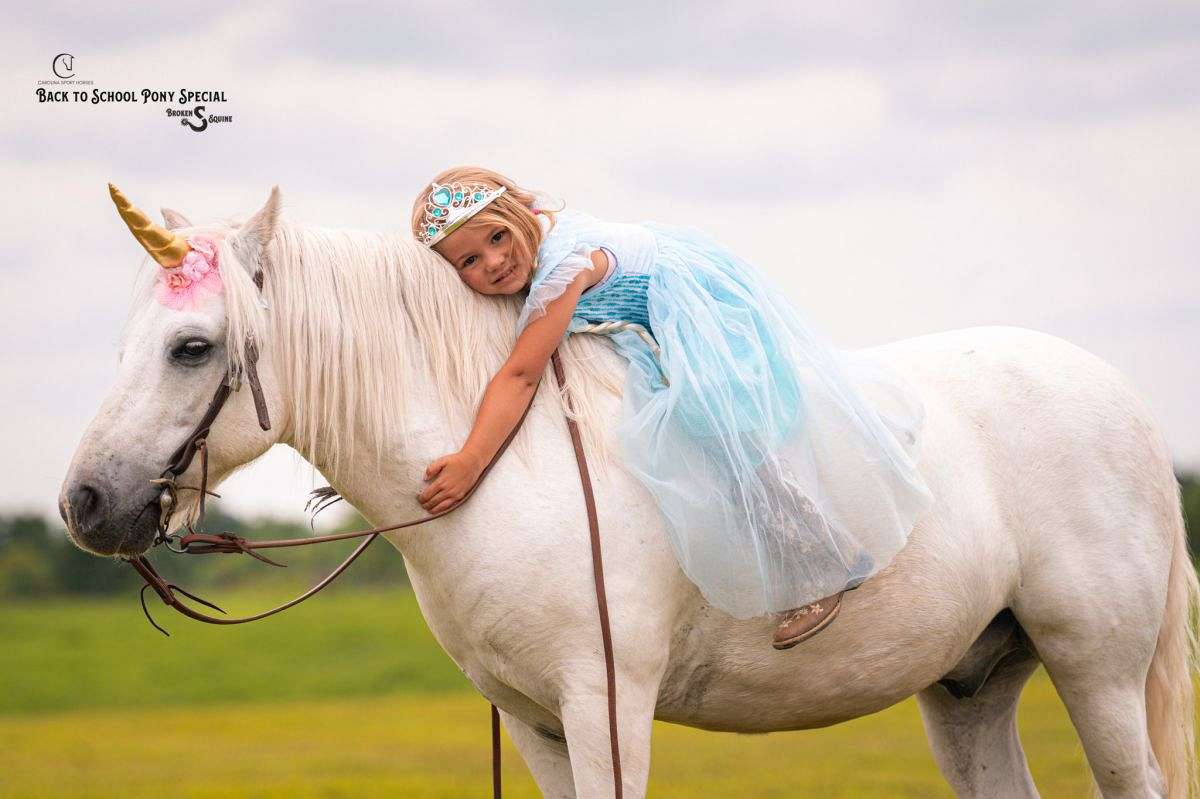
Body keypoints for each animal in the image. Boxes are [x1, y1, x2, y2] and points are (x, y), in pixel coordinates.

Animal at [60, 186, 1199, 798]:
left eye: (191, 346)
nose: (84, 503)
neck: (508, 464)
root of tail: (1127, 404)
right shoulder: (535, 722)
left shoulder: (605, 705)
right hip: (970, 685)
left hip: (1095, 667)